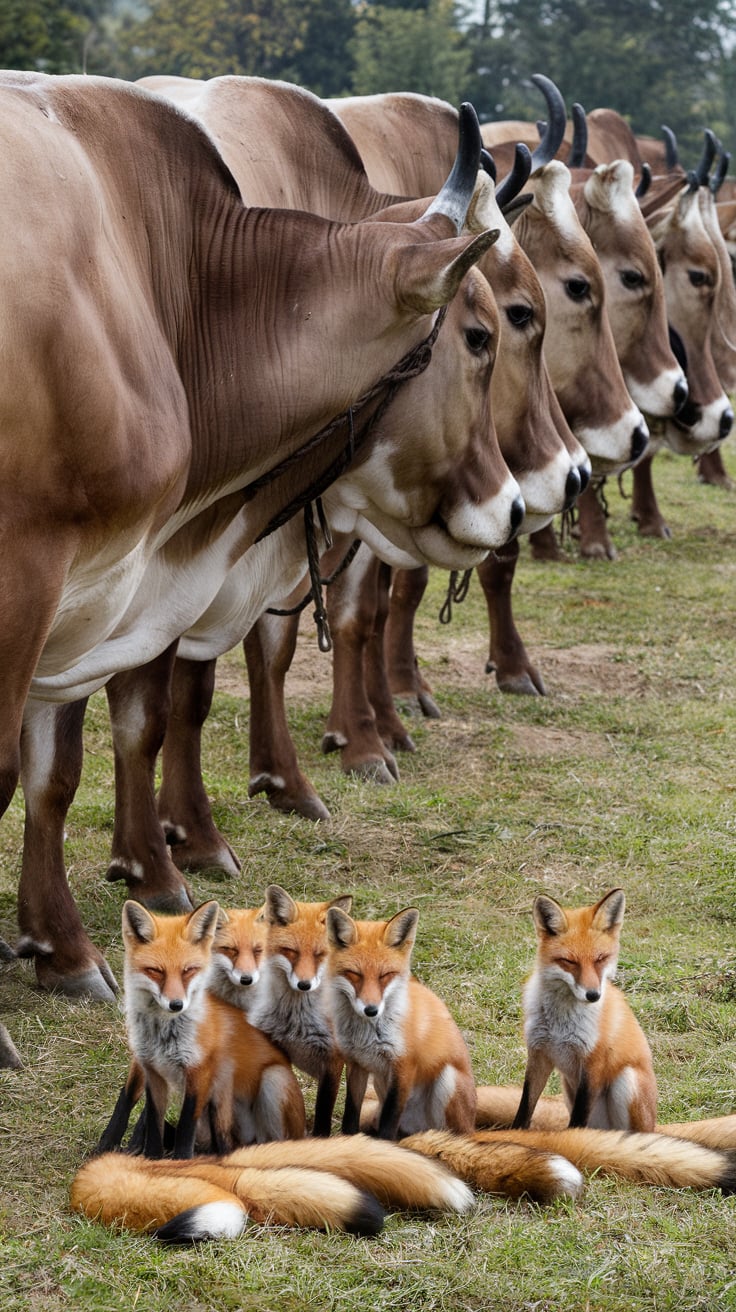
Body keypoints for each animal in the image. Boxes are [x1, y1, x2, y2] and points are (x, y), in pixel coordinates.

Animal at [96, 899, 305, 1159]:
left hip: (273, 1080)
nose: (176, 1005)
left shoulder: (199, 1073)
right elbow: (137, 1107)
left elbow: (185, 1127)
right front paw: (120, 1146)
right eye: (156, 971)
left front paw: (178, 1160)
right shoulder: (148, 1065)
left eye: (188, 970)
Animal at [248, 884, 352, 1136]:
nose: (304, 984)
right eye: (290, 951)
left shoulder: (333, 1062)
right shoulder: (279, 1050)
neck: (295, 1021)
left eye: (319, 954)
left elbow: (323, 1114)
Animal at [324, 904, 477, 1139]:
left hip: (449, 1079)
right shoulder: (357, 1064)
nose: (371, 1010)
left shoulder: (403, 1066)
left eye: (385, 975)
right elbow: (350, 1116)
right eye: (354, 974)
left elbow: (389, 1124)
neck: (367, 1035)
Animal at [511, 888, 658, 1132]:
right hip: (567, 1088)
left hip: (627, 1080)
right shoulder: (538, 1053)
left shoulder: (593, 1062)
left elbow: (577, 1120)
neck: (560, 1023)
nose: (593, 995)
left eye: (600, 959)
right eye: (569, 961)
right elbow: (525, 1107)